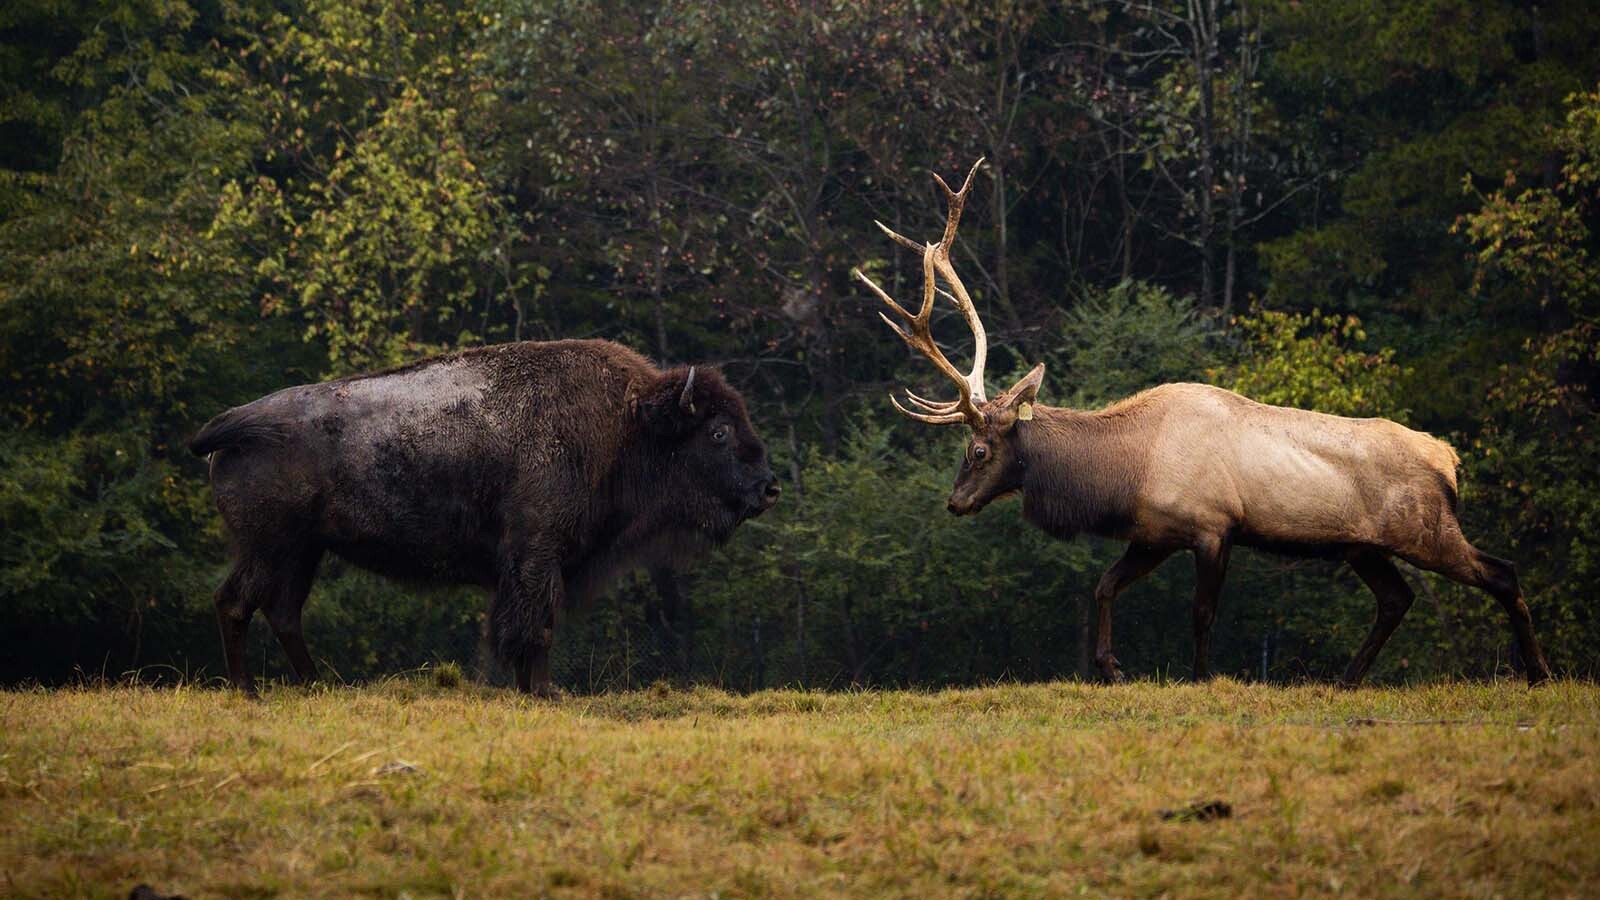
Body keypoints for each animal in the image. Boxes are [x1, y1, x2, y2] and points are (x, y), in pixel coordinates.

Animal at [852, 159, 1554, 687]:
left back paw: (1538, 672)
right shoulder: (1155, 532)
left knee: (1500, 572)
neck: (1125, 471)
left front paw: (1198, 677)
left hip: (1424, 528)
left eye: (977, 449)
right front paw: (1111, 666)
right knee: (1396, 599)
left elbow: (1202, 613)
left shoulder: (1213, 526)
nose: (955, 502)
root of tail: (1450, 461)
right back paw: (1347, 678)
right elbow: (1104, 585)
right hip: (1364, 546)